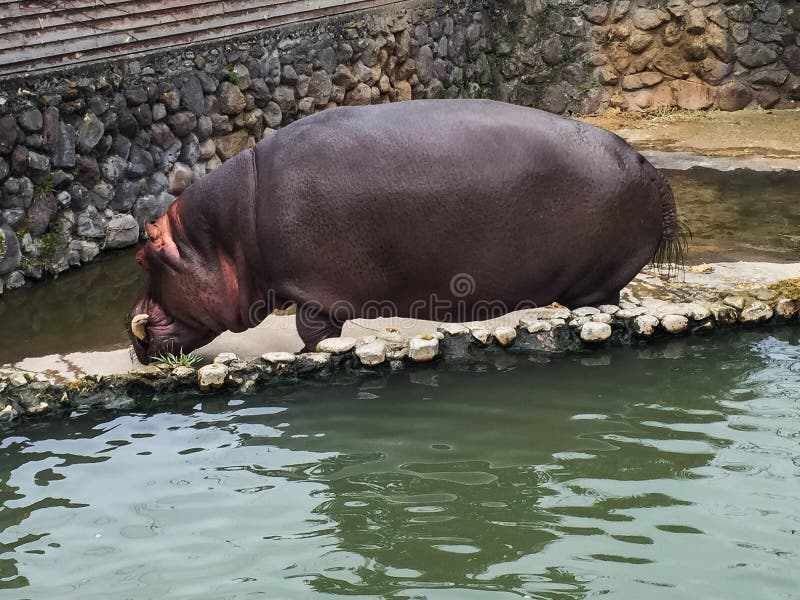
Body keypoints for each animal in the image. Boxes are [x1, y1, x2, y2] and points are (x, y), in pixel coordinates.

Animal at [128, 99, 685, 363]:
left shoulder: (314, 293)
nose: (135, 333)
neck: (224, 236)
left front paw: (308, 357)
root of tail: (652, 169)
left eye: (142, 258)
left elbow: (314, 335)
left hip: (595, 283)